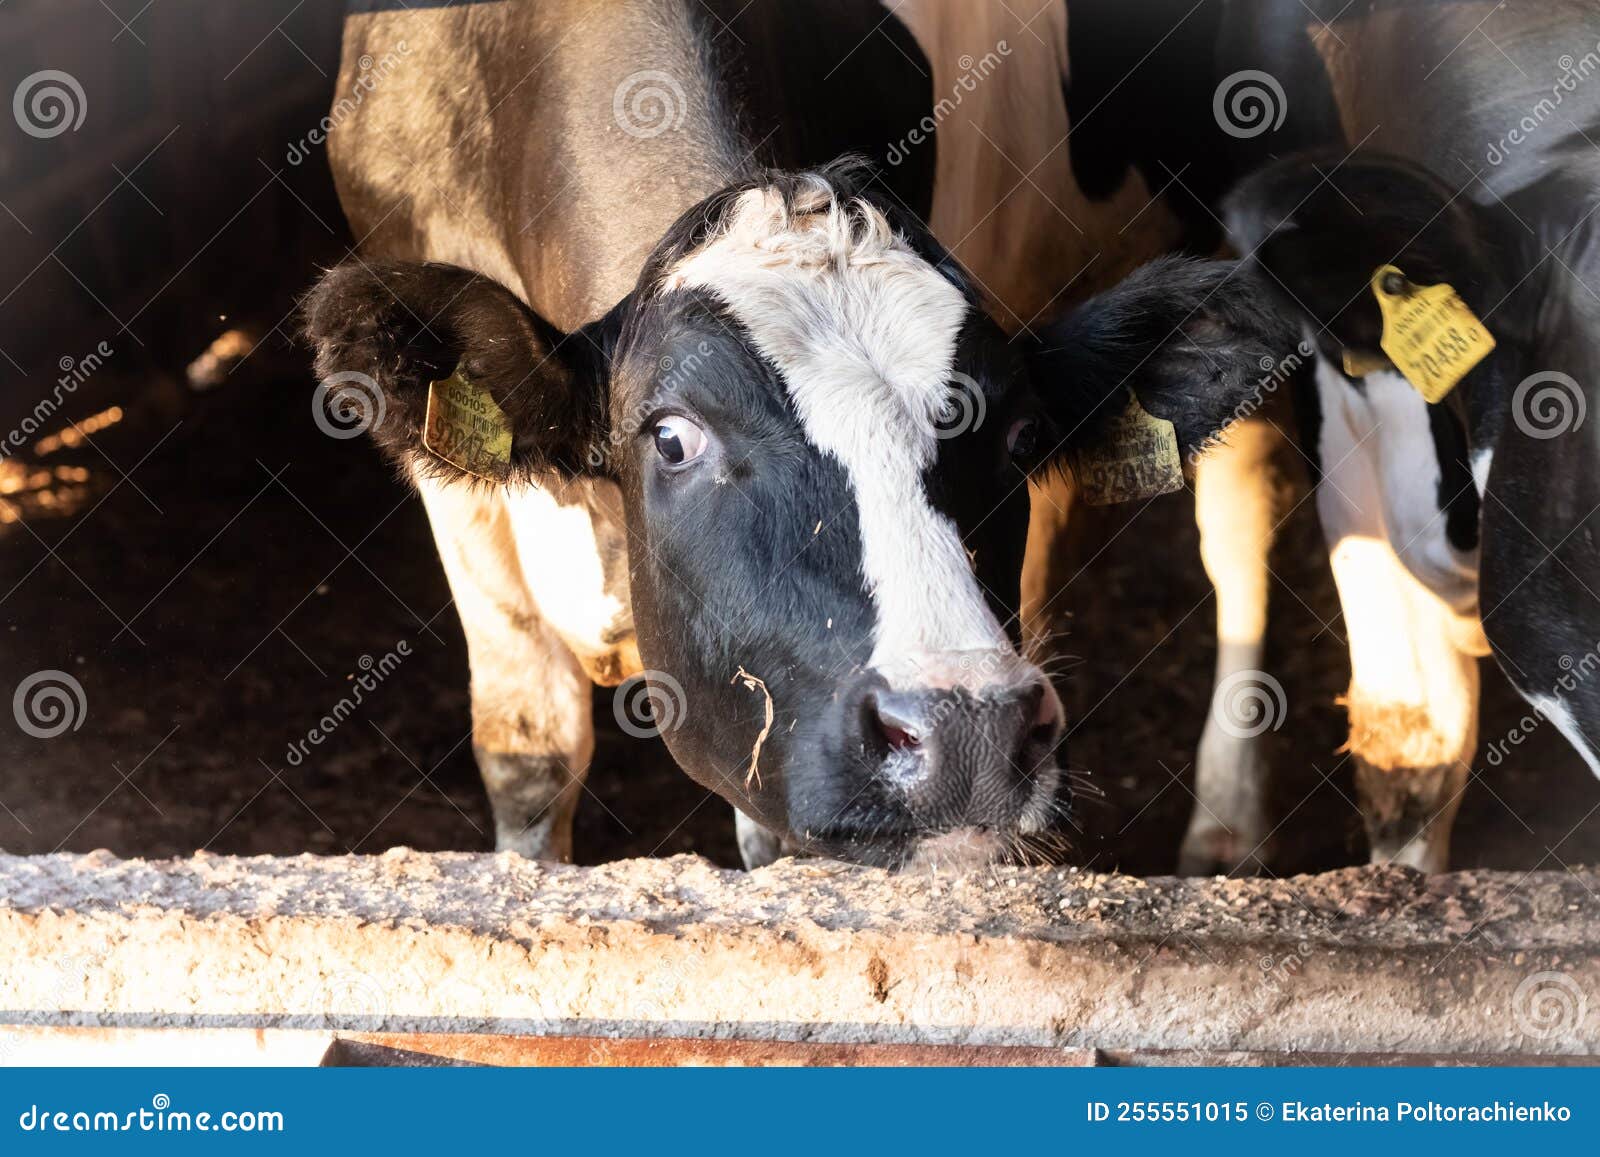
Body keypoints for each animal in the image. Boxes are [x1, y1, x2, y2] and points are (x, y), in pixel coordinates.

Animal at [301, 0, 1292, 869]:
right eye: (671, 438)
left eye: (1016, 435)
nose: (970, 728)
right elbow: (529, 754)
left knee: (1243, 513)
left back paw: (1229, 827)